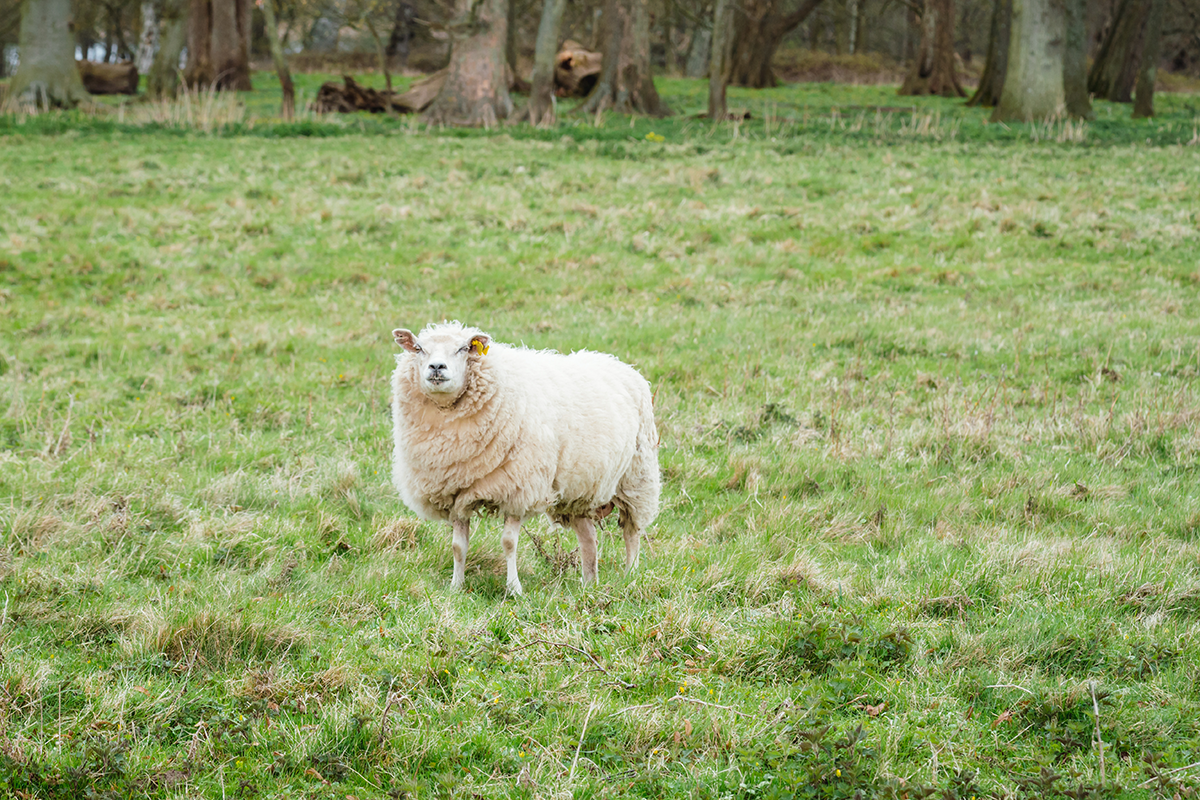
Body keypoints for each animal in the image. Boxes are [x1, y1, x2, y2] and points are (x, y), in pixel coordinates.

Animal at [389, 321, 660, 595]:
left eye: (463, 348)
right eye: (419, 349)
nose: (436, 367)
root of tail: (620, 364)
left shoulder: (519, 489)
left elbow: (509, 543)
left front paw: (514, 589)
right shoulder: (457, 494)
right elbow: (458, 547)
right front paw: (456, 586)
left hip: (637, 478)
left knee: (632, 532)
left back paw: (630, 575)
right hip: (579, 493)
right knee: (589, 538)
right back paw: (588, 583)